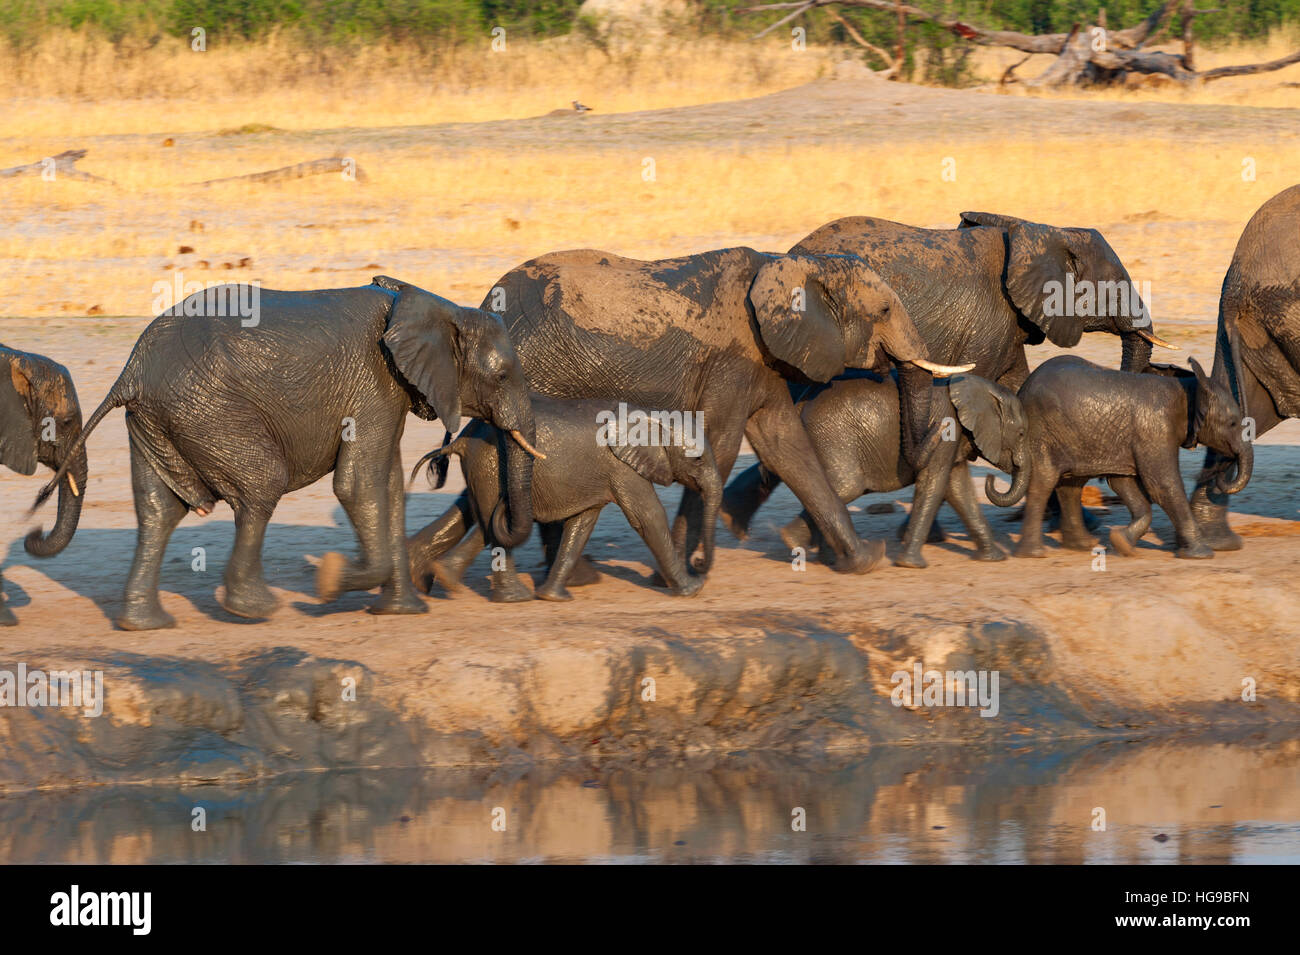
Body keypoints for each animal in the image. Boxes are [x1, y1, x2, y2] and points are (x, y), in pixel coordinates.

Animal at [35, 276, 538, 630]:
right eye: (502, 376)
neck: (434, 306)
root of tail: (132, 369)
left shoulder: (388, 393)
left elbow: (389, 488)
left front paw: (402, 613)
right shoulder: (374, 384)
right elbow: (358, 487)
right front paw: (330, 580)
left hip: (158, 421)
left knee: (159, 510)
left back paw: (144, 624)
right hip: (207, 409)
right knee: (261, 483)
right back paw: (255, 608)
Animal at [407, 394, 721, 602]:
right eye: (697, 459)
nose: (700, 564)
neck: (652, 415)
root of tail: (462, 438)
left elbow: (581, 524)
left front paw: (553, 597)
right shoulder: (622, 468)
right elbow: (648, 516)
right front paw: (692, 590)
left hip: (483, 468)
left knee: (483, 518)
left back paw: (444, 578)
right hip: (491, 464)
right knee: (494, 522)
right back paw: (512, 597)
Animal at [410, 246, 971, 581]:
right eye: (884, 312)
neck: (793, 264)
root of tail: (487, 301)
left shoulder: (764, 360)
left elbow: (786, 446)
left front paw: (864, 562)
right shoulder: (732, 360)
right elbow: (720, 447)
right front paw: (684, 566)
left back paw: (438, 575)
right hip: (534, 369)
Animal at [725, 370, 1027, 564]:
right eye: (1022, 433)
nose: (990, 478)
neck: (978, 387)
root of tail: (801, 405)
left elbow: (957, 486)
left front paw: (994, 559)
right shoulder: (947, 427)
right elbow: (936, 482)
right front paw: (910, 564)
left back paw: (823, 556)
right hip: (833, 436)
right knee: (841, 488)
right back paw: (798, 544)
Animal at [1015, 356, 1249, 559]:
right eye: (1232, 423)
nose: (1222, 470)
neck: (1188, 387)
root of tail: (1022, 391)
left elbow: (1123, 483)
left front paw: (1120, 544)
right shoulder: (1155, 429)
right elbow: (1162, 485)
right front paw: (1202, 554)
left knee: (1070, 486)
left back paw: (1083, 546)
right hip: (1041, 432)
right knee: (1043, 482)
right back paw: (1034, 553)